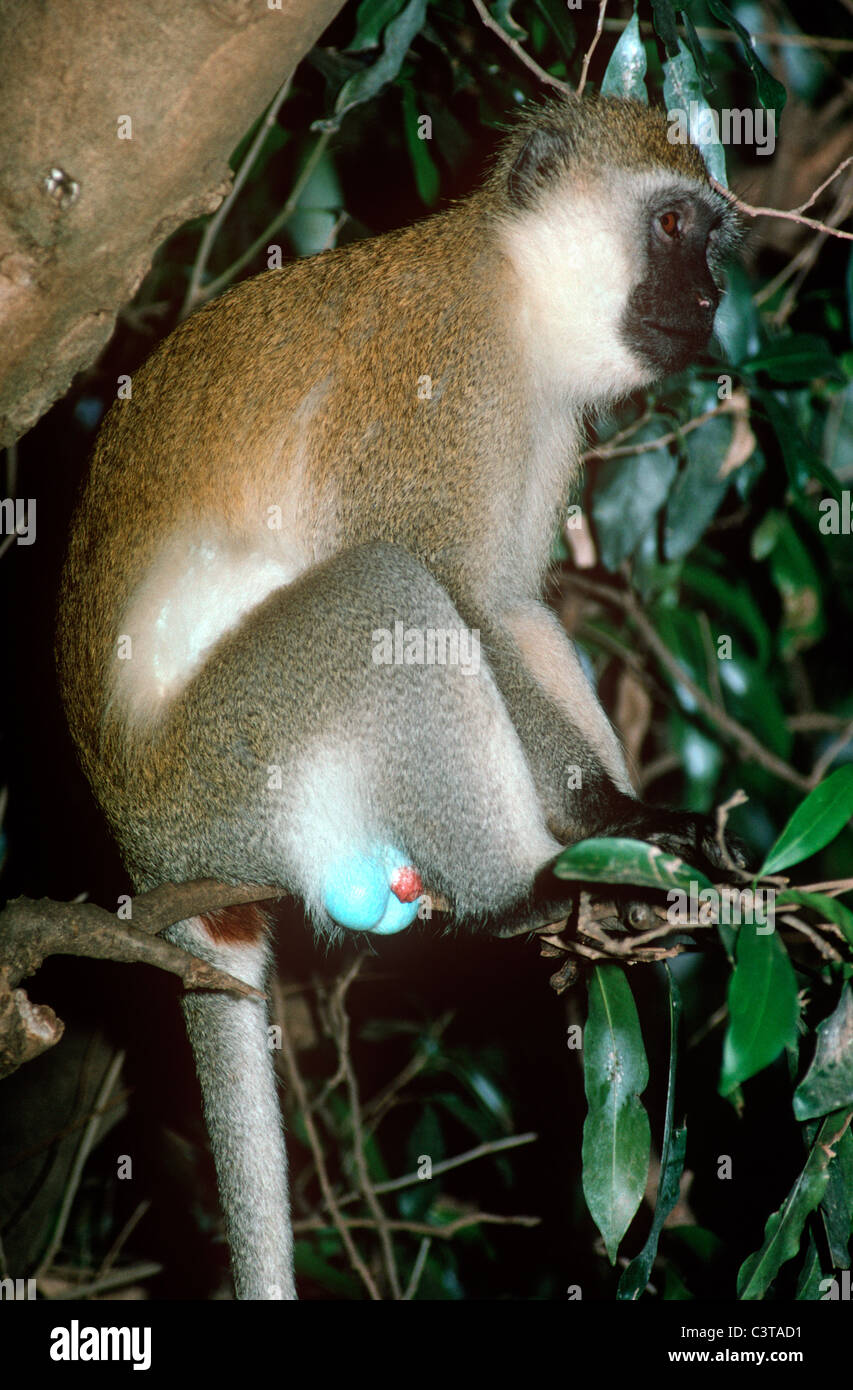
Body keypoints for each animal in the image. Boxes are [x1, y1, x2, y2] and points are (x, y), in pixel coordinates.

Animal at [56, 95, 741, 1300]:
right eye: (670, 224)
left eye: (709, 238)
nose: (707, 299)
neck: (509, 285)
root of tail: (150, 854)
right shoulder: (443, 380)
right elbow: (449, 597)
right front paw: (621, 823)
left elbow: (505, 607)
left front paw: (638, 822)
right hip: (225, 769)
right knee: (388, 592)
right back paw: (524, 892)